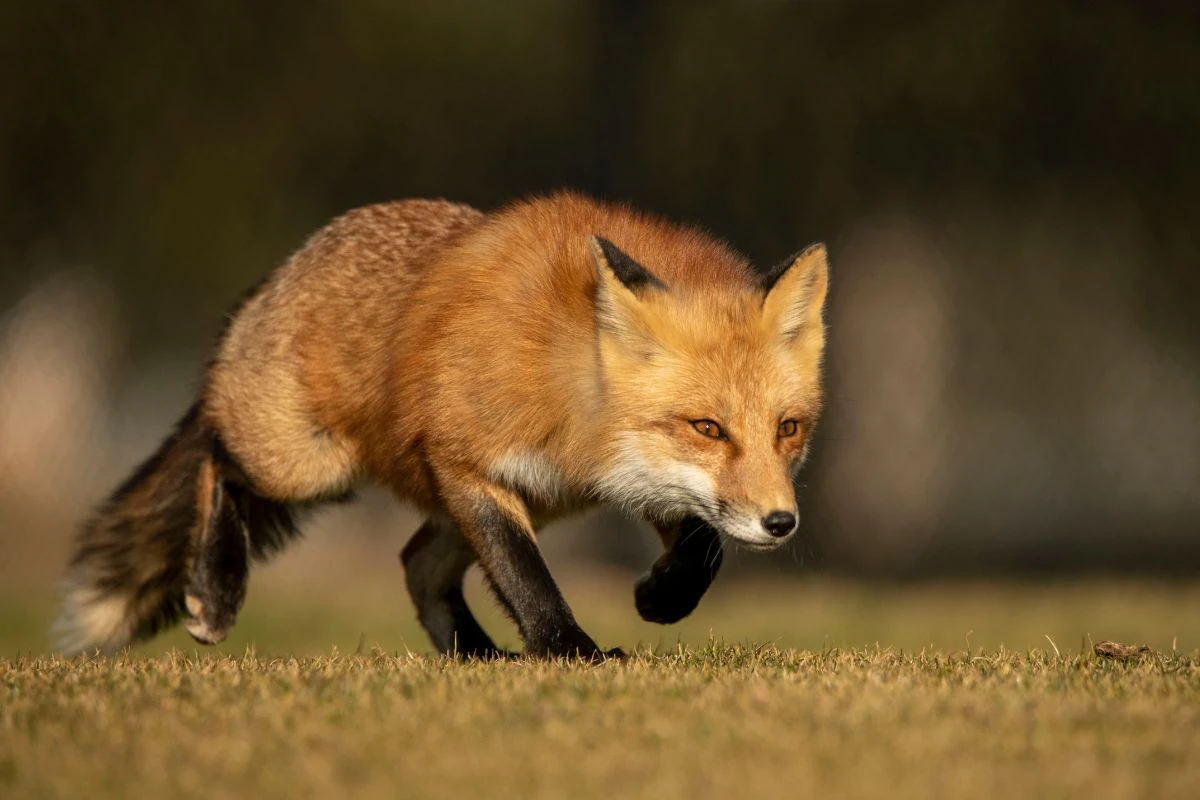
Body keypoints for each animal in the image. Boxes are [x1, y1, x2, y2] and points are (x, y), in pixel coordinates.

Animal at [56, 191, 828, 659]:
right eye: (708, 427)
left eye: (788, 429)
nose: (782, 523)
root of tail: (287, 267)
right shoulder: (467, 465)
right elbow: (525, 576)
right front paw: (567, 649)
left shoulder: (635, 480)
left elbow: (703, 547)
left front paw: (660, 595)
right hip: (307, 463)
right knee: (217, 458)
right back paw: (217, 586)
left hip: (530, 502)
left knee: (415, 563)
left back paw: (475, 657)